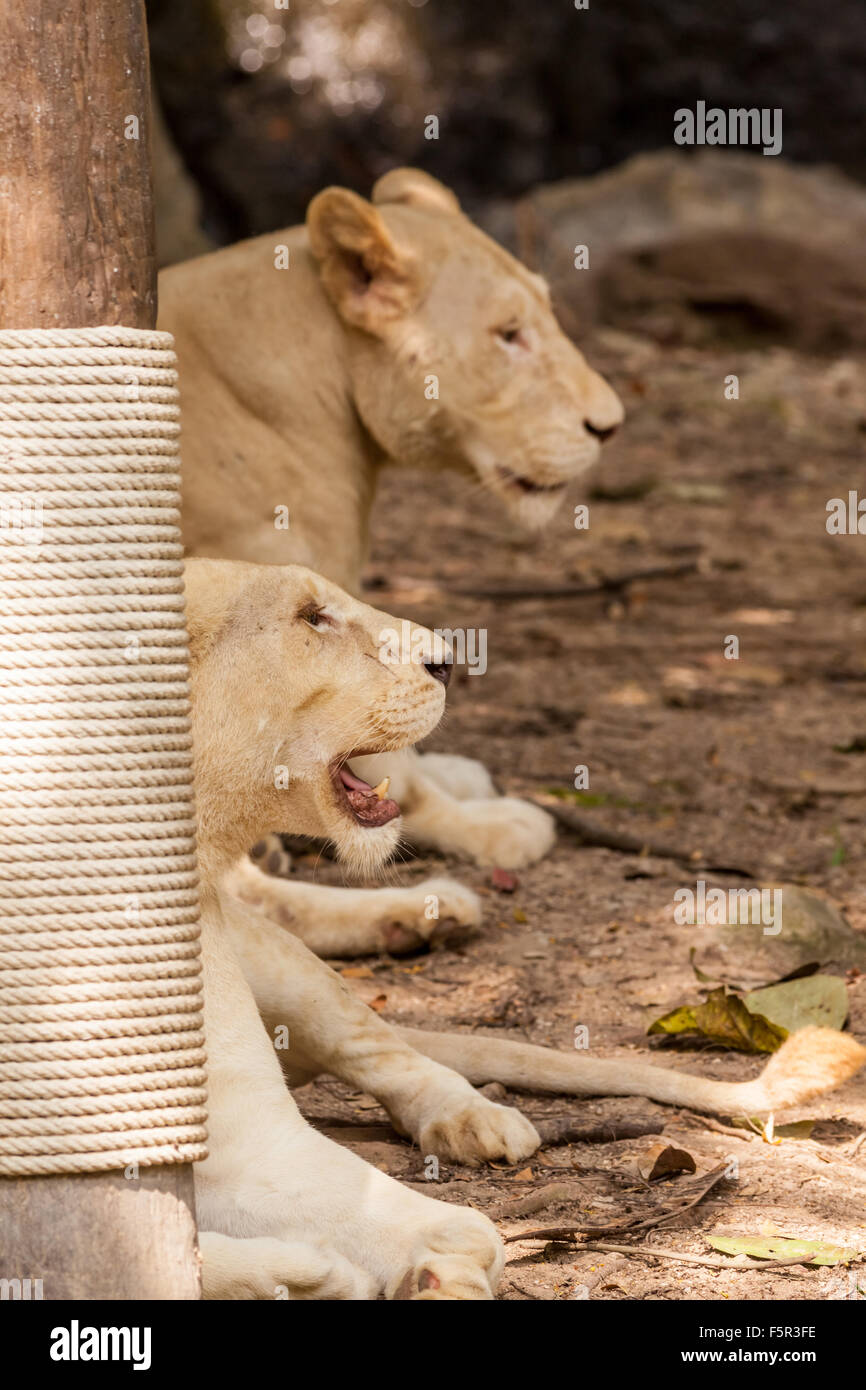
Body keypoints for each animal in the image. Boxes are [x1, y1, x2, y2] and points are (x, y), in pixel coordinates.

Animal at [186, 557, 866, 1299]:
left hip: (293, 974)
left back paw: (475, 1114)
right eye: (312, 617)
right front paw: (306, 1276)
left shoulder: (257, 1144)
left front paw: (433, 1266)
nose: (448, 660)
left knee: (382, 1044)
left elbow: (434, 1219)